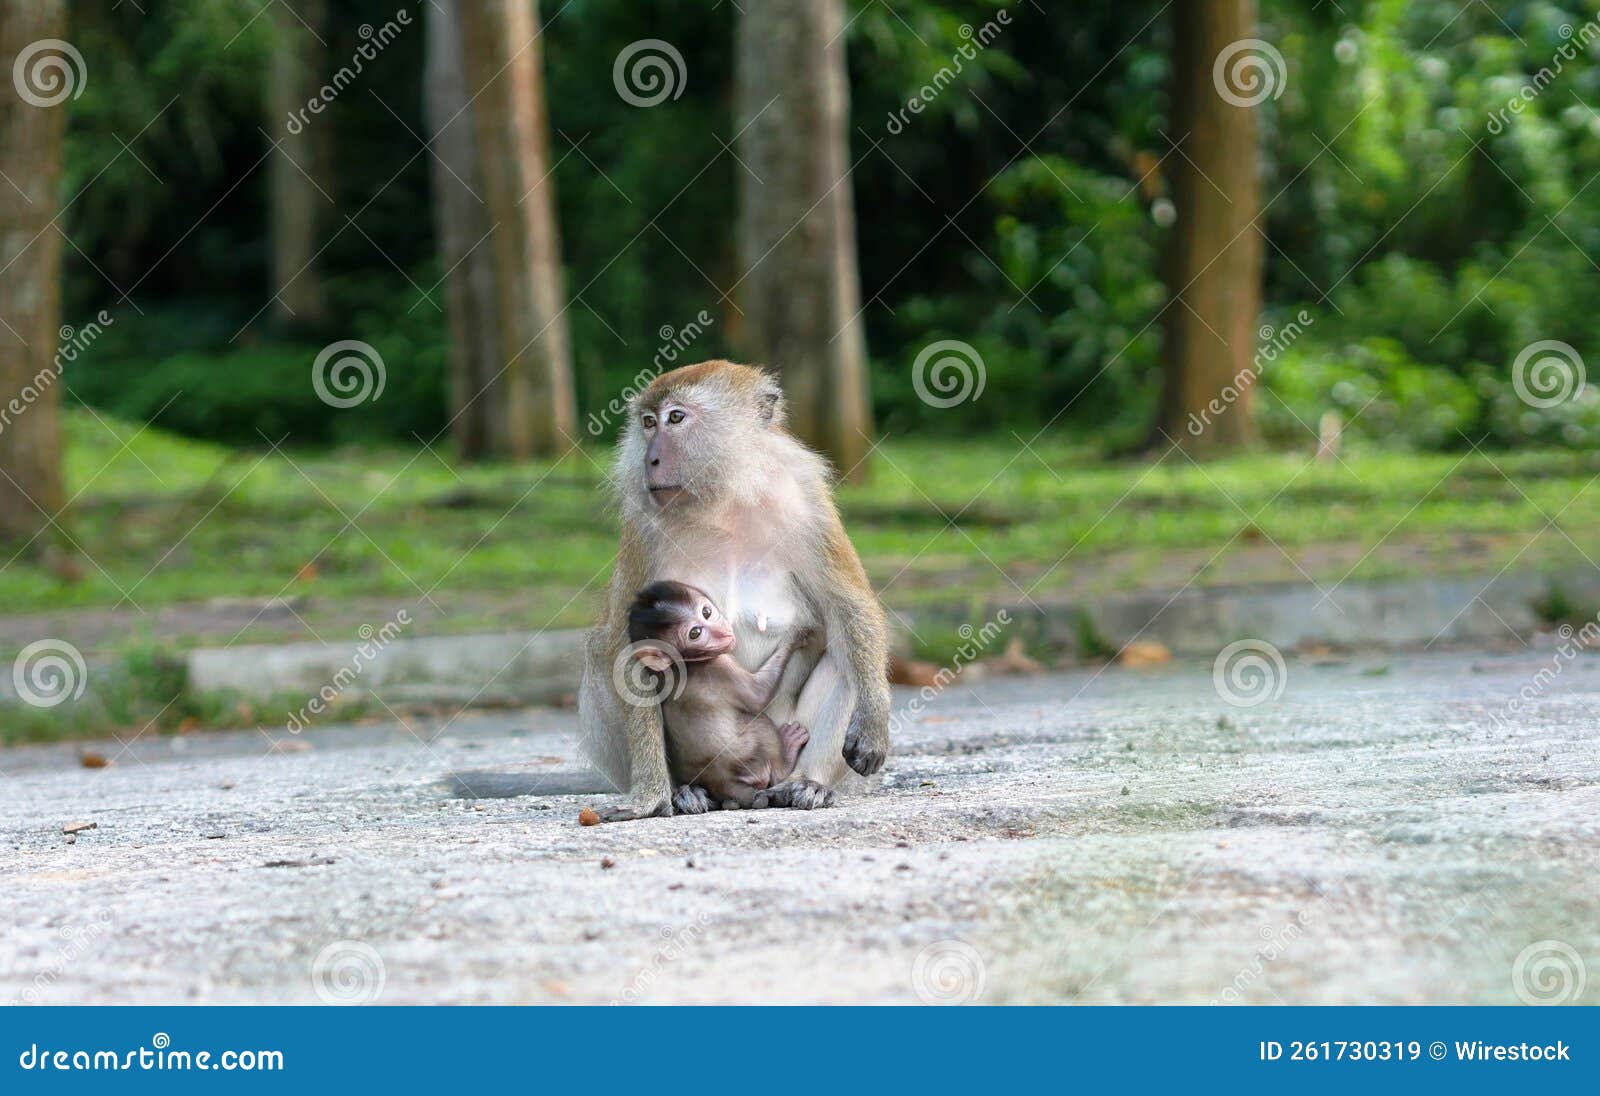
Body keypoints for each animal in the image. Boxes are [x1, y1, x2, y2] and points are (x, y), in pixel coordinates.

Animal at [626, 581, 813, 809]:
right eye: (695, 633)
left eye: (706, 612)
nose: (721, 632)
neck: (686, 662)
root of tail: (725, 784)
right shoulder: (719, 665)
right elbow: (758, 695)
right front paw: (794, 636)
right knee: (763, 730)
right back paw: (788, 753)